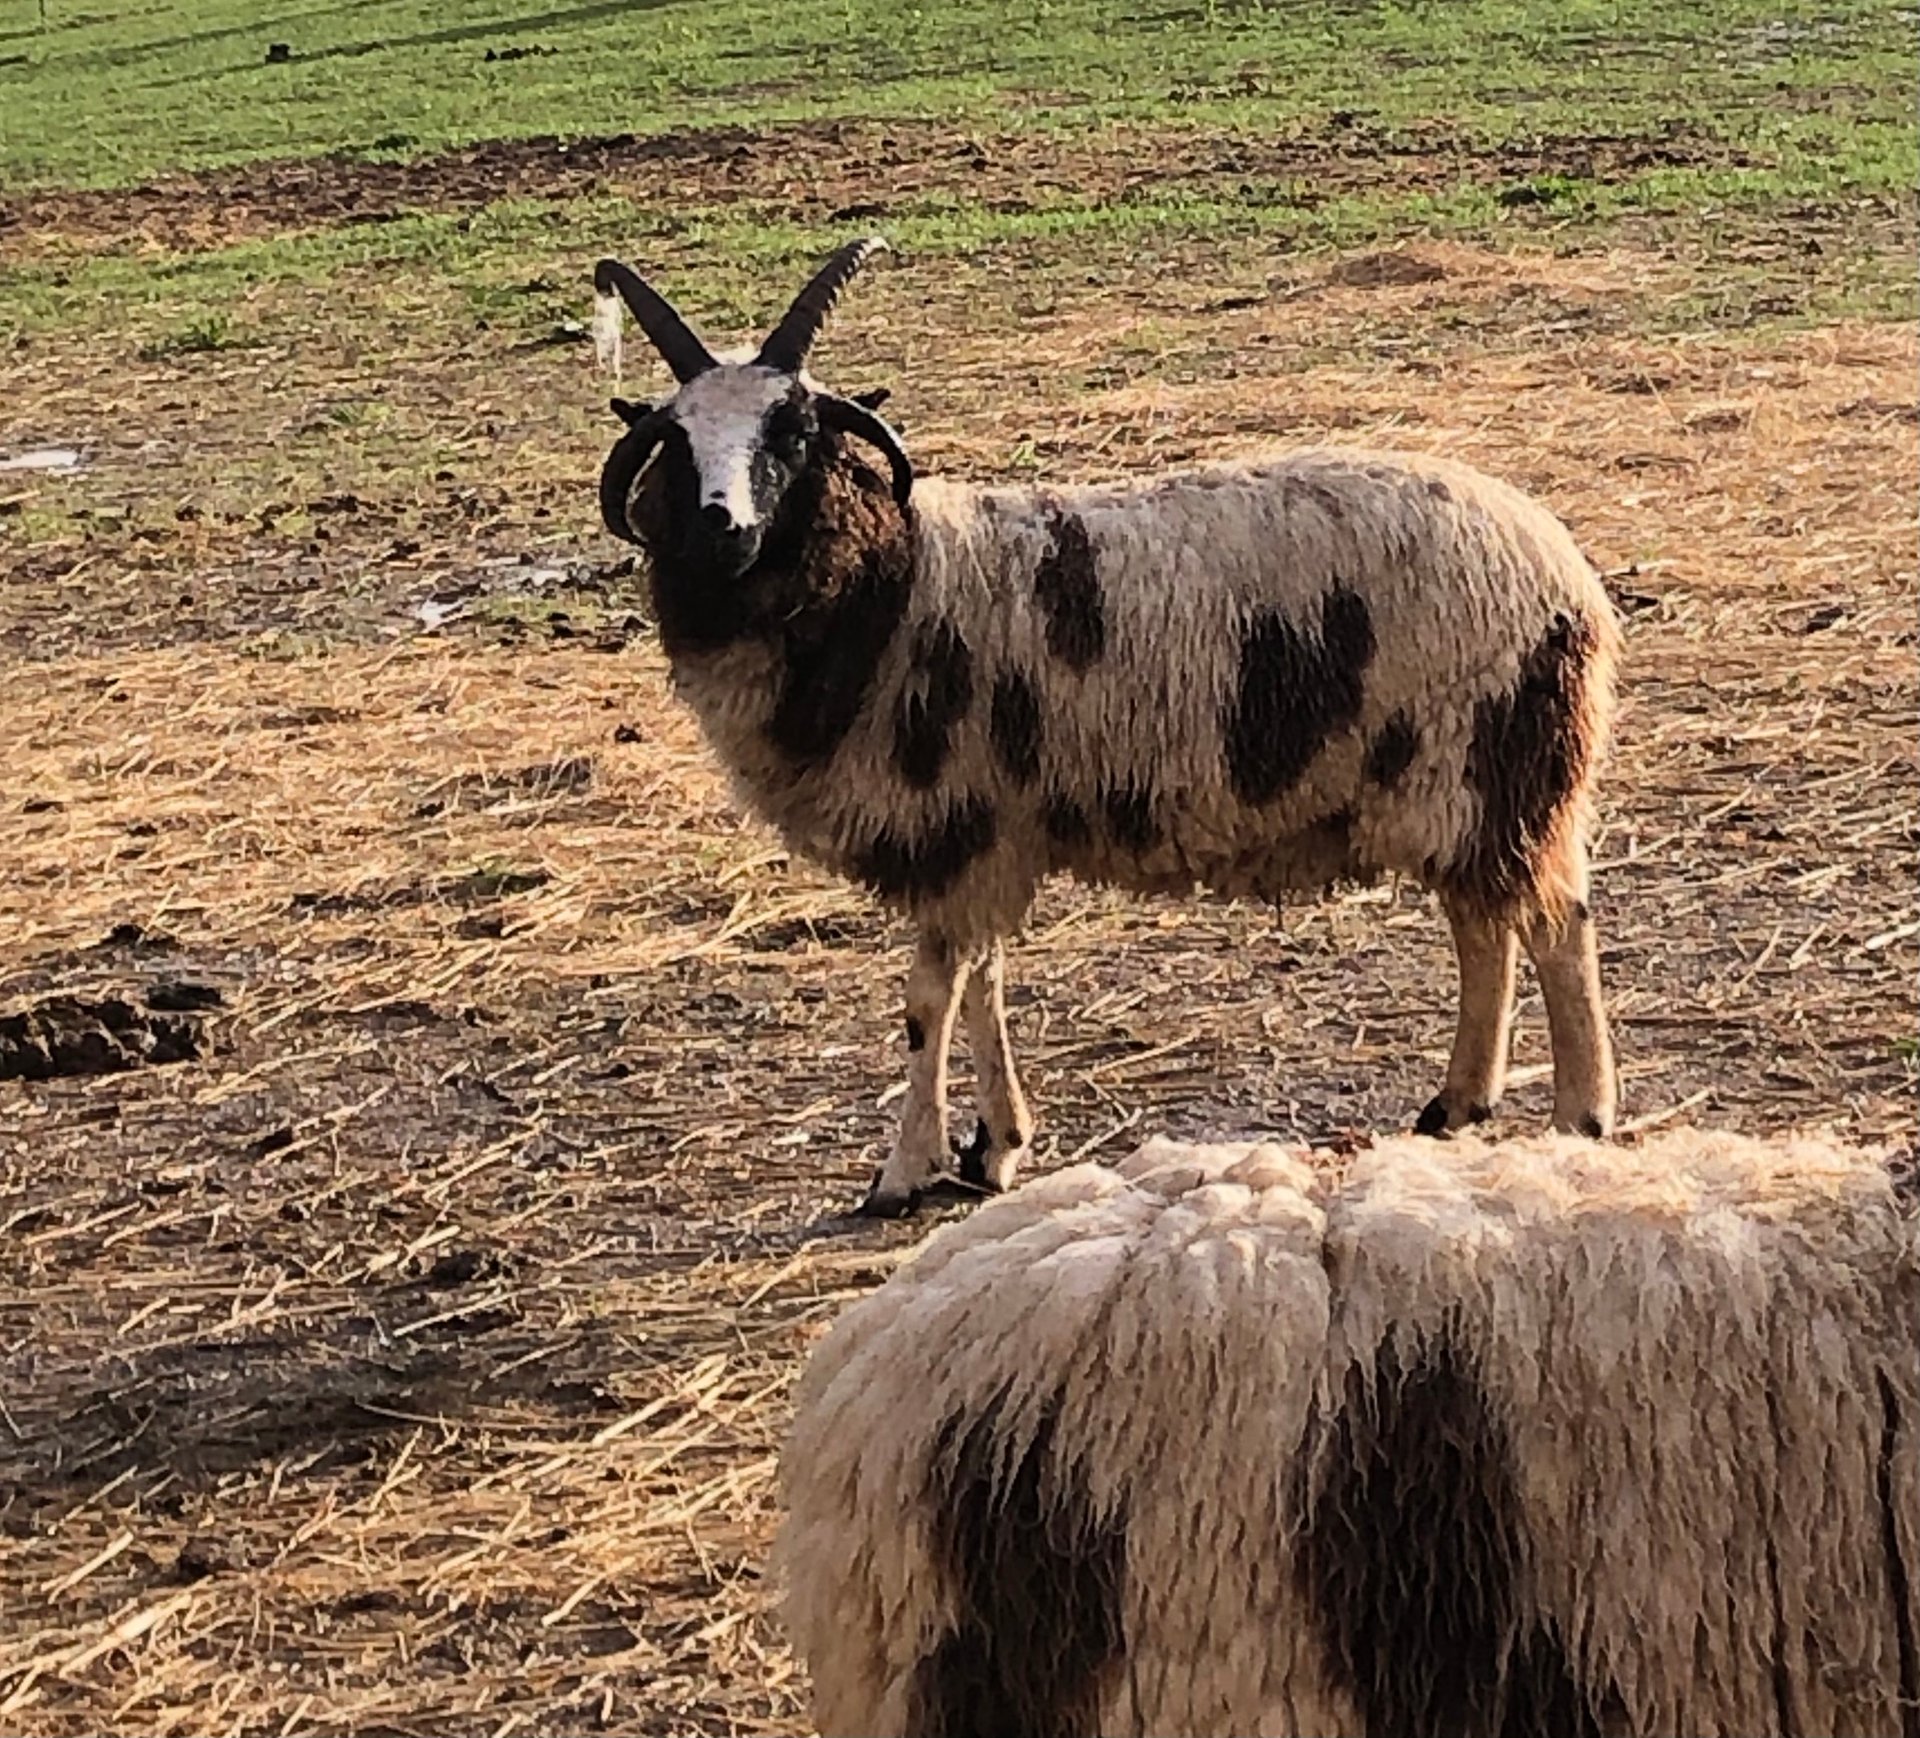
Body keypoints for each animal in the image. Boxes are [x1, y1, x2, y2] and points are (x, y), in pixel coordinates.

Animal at [592, 237, 1623, 1216]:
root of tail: (1563, 567)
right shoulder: (986, 838)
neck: (891, 583)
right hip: (1464, 782)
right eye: (675, 444)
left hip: (1496, 764)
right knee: (1484, 926)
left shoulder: (954, 826)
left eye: (796, 432)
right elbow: (984, 981)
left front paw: (904, 1172)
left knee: (1555, 927)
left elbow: (929, 1000)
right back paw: (1458, 1103)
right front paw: (993, 1147)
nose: (724, 528)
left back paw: (1581, 1116)